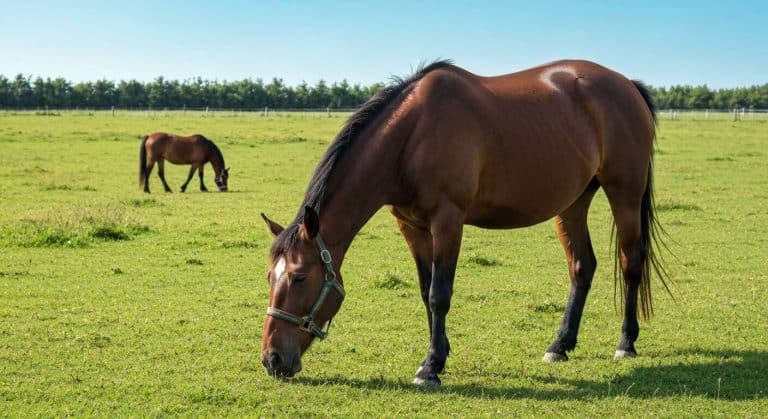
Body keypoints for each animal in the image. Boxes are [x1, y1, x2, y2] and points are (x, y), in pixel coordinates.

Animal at [259, 59, 670, 387]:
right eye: (269, 277)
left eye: (299, 277)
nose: (272, 359)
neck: (412, 135)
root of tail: (627, 84)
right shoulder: (412, 227)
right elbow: (425, 291)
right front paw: (438, 355)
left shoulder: (448, 221)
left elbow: (440, 294)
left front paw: (430, 368)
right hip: (573, 203)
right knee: (582, 267)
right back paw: (560, 345)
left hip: (624, 195)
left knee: (630, 264)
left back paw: (626, 342)